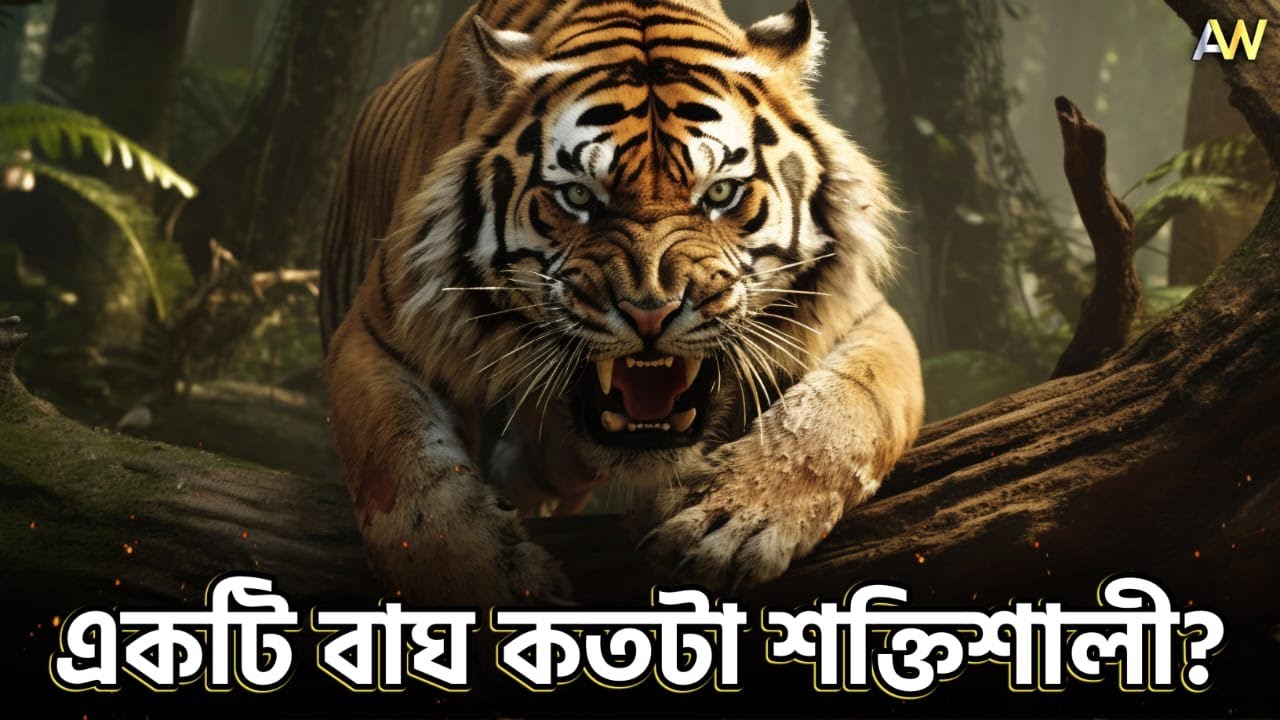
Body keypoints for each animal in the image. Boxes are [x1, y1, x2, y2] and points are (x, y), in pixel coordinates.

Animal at [320, 0, 924, 605]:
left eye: (720, 193)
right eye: (578, 196)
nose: (650, 311)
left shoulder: (867, 316)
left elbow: (836, 412)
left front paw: (729, 520)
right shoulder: (376, 333)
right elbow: (403, 467)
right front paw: (484, 582)